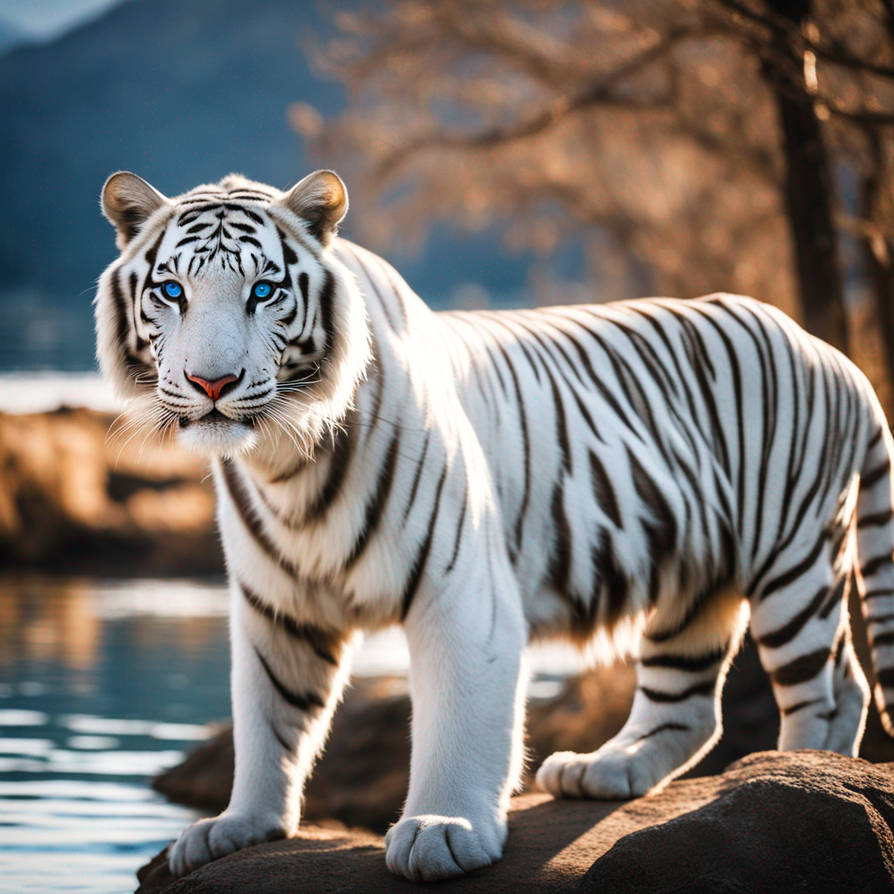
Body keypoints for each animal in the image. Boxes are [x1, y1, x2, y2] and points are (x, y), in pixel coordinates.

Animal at [95, 168, 894, 883]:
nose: (212, 384)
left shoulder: (461, 591)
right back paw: (605, 770)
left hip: (794, 558)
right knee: (691, 705)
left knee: (831, 692)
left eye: (263, 291)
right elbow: (268, 720)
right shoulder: (276, 605)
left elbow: (458, 721)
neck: (285, 461)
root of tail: (832, 353)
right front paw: (239, 826)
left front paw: (441, 830)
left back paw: (789, 776)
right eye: (172, 291)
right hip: (695, 574)